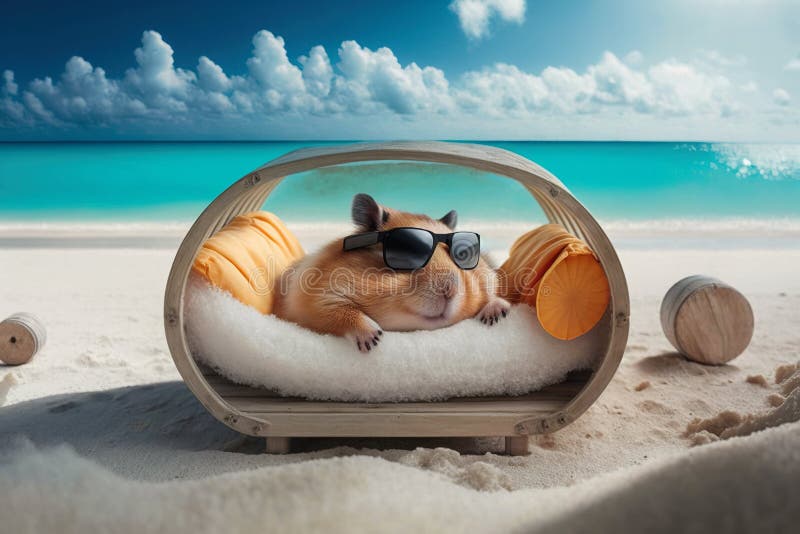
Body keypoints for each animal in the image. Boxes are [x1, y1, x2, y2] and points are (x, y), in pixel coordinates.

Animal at [273, 193, 511, 352]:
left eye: (462, 254)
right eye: (405, 251)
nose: (449, 291)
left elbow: (491, 296)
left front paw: (497, 311)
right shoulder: (314, 301)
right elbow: (342, 313)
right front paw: (375, 338)